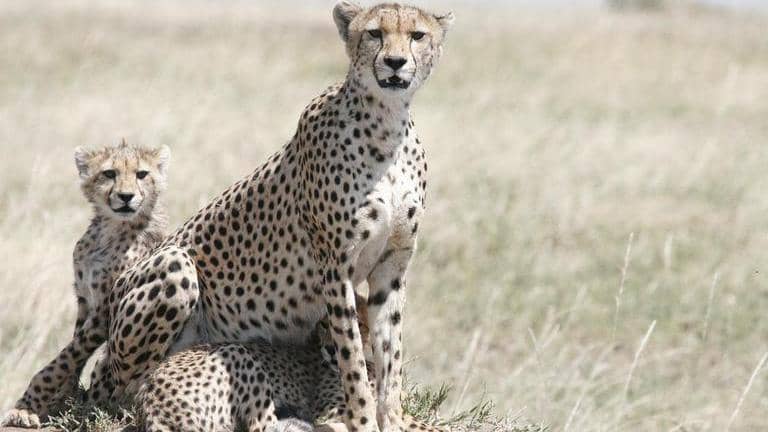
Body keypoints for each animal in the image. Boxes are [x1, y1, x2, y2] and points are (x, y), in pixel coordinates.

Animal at [1, 141, 170, 428]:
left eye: (142, 174)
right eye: (110, 173)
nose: (126, 197)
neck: (111, 228)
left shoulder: (106, 309)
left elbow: (64, 358)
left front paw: (26, 407)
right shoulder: (84, 299)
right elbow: (72, 352)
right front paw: (62, 399)